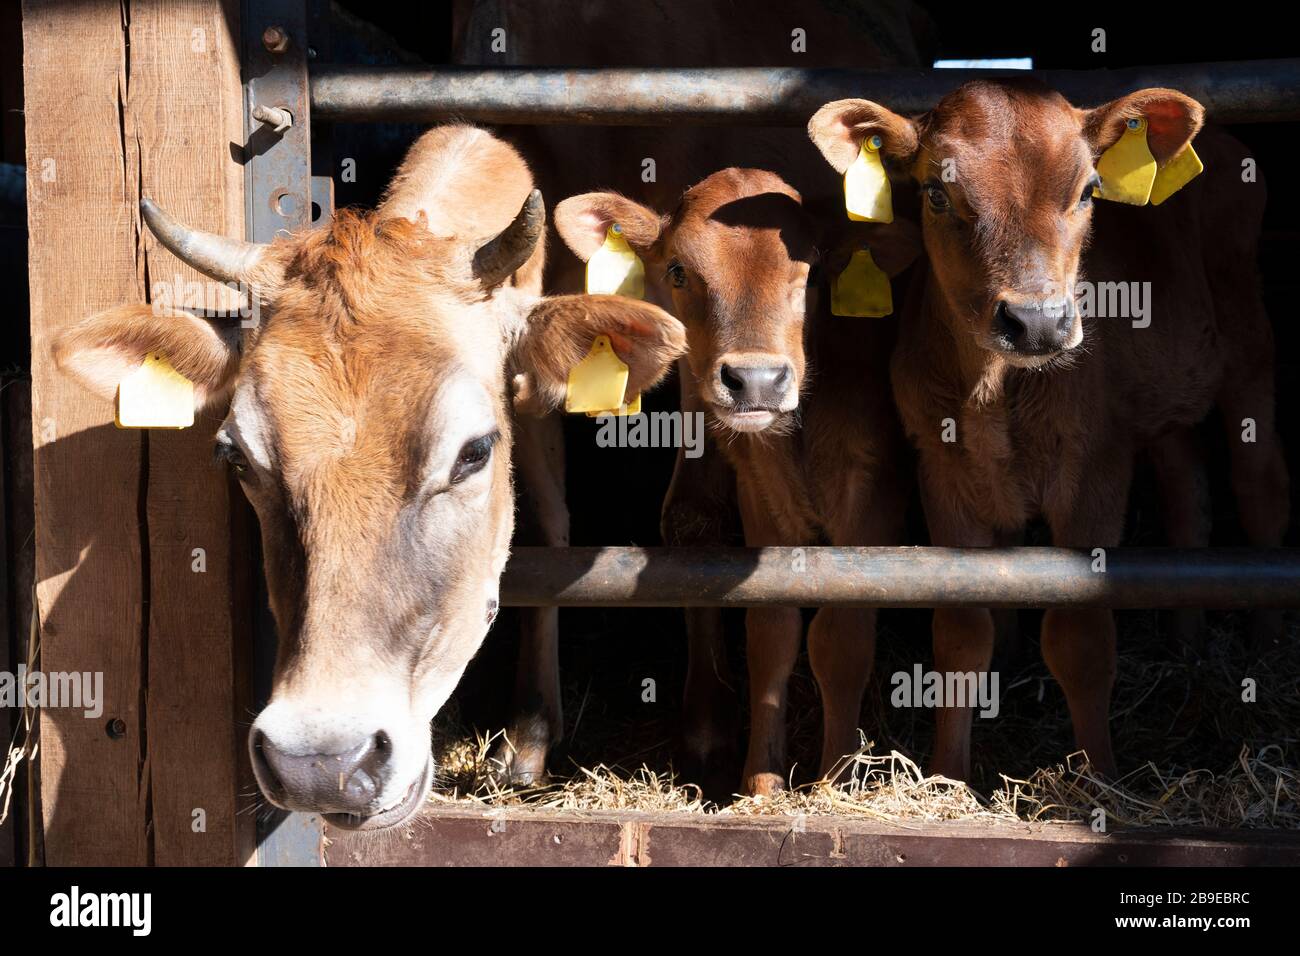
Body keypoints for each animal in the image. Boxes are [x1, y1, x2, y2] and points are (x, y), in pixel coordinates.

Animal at [555, 169, 917, 795]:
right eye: (678, 270)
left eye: (813, 270)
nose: (756, 380)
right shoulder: (761, 496)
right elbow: (770, 630)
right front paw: (762, 784)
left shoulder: (873, 503)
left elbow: (840, 639)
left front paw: (834, 784)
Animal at [809, 80, 1289, 781]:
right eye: (936, 193)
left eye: (1088, 190)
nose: (1036, 321)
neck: (995, 386)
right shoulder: (944, 471)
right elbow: (961, 634)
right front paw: (952, 776)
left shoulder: (1094, 468)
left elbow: (1080, 641)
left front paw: (1100, 781)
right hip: (1165, 401)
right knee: (1188, 500)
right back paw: (1188, 643)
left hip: (1251, 345)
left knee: (1260, 488)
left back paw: (1266, 647)